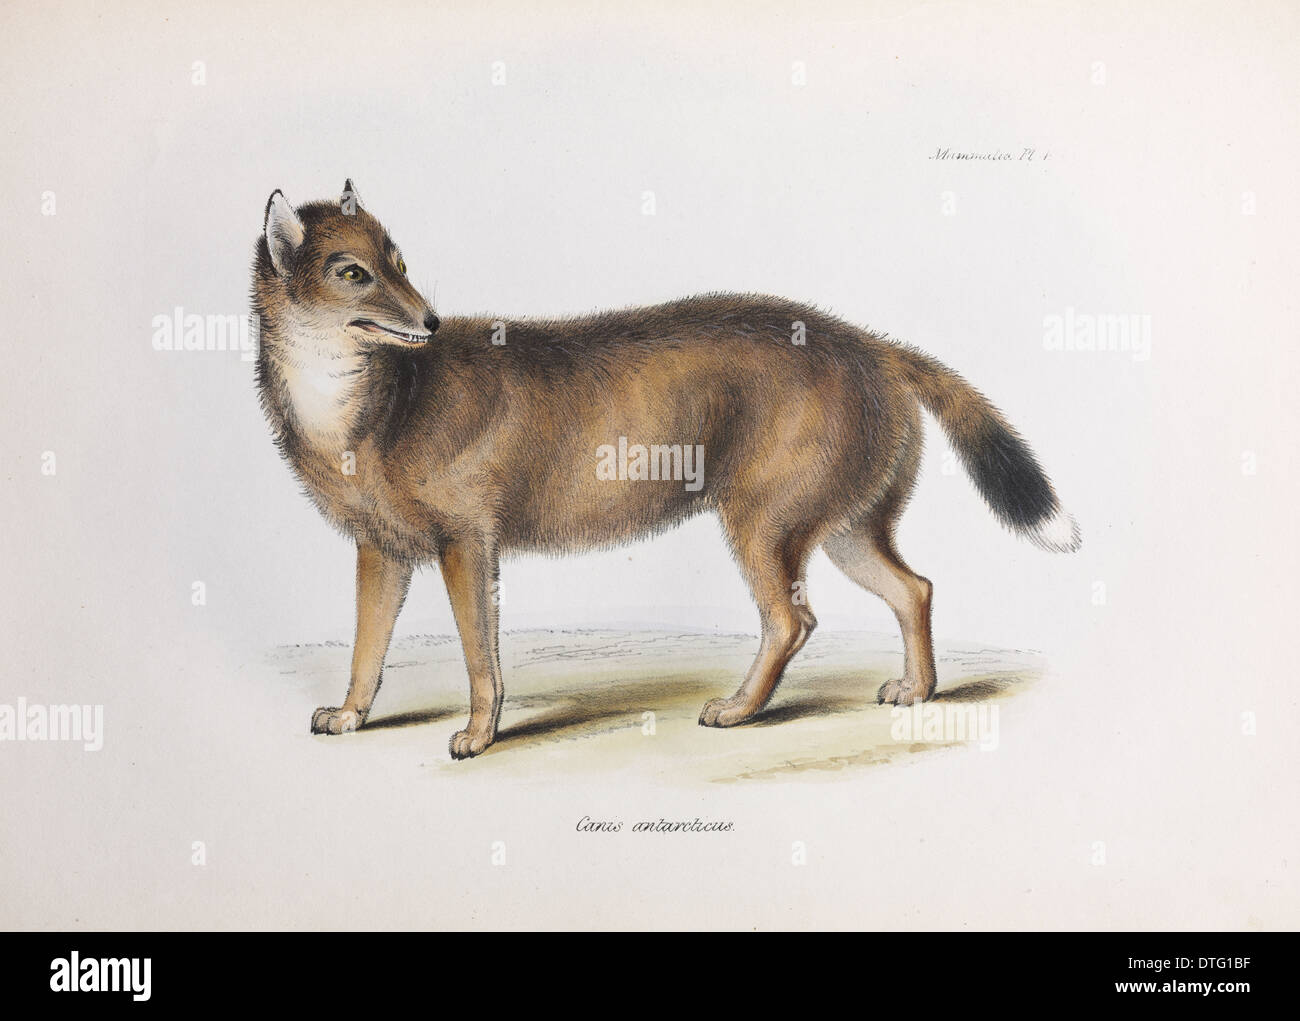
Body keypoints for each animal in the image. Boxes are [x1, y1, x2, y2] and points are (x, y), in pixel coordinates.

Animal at [252, 181, 1080, 759]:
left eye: (400, 262)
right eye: (353, 271)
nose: (427, 319)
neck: (367, 408)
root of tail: (872, 342)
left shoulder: (467, 544)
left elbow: (478, 655)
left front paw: (479, 734)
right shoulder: (381, 550)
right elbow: (366, 648)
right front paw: (349, 715)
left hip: (762, 523)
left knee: (794, 620)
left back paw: (739, 709)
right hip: (843, 527)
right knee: (915, 588)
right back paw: (916, 689)